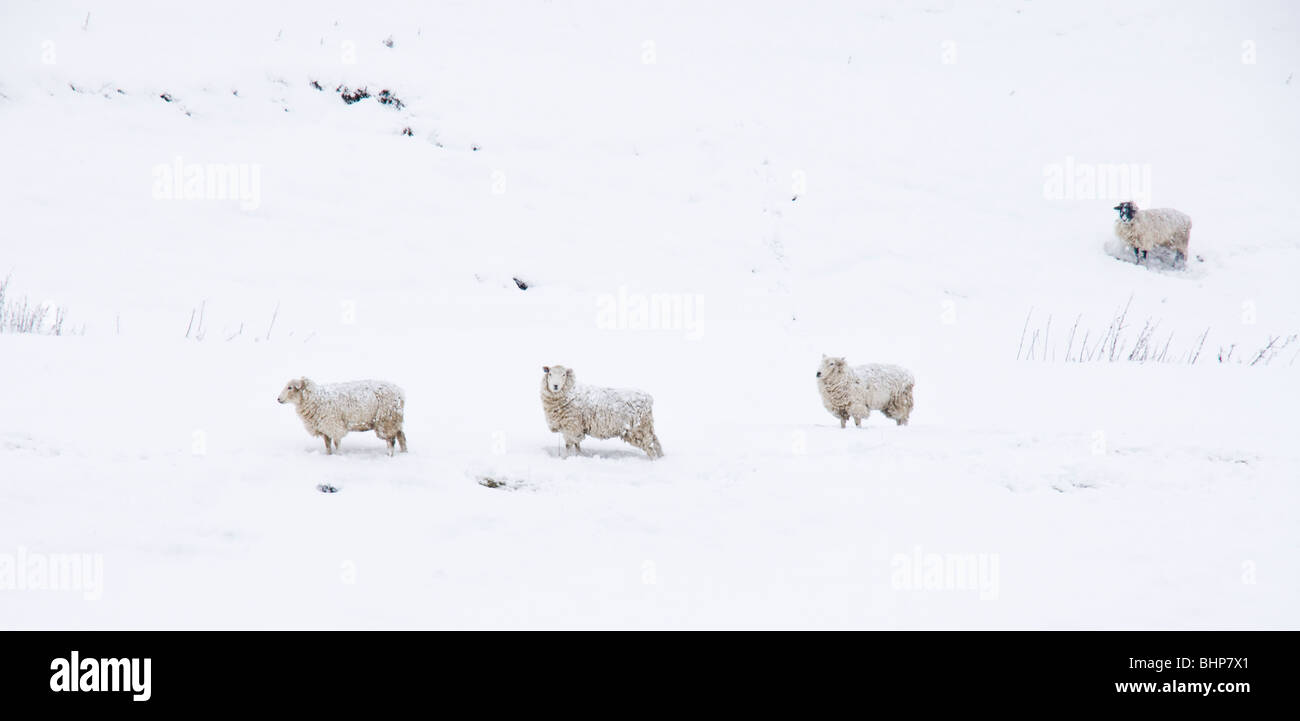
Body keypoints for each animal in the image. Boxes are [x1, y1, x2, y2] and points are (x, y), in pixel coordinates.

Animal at [277, 377, 407, 456]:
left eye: (290, 387)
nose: (278, 399)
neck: (315, 398)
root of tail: (400, 393)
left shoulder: (334, 425)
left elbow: (336, 443)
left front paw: (339, 455)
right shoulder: (324, 427)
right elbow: (327, 444)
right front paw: (328, 455)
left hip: (386, 420)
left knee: (391, 441)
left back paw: (390, 455)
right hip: (394, 420)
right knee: (401, 437)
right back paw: (404, 452)